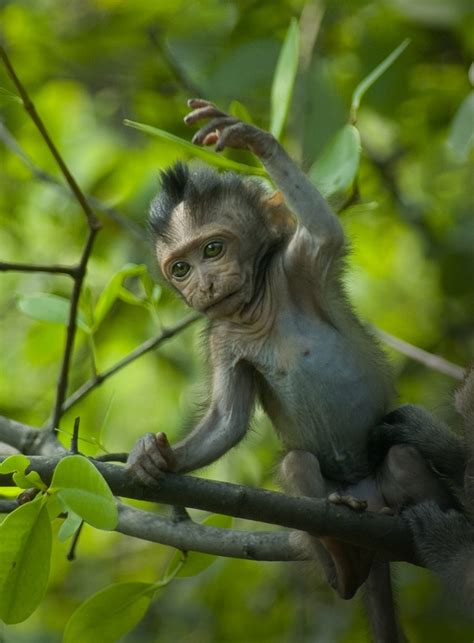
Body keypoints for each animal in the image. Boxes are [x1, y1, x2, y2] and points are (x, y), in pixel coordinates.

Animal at [126, 99, 460, 640]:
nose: (203, 285)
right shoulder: (222, 338)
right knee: (297, 465)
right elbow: (226, 422)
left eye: (213, 249)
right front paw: (158, 458)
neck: (256, 308)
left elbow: (324, 230)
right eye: (180, 268)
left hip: (391, 481)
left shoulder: (297, 265)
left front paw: (251, 138)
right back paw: (345, 565)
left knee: (404, 457)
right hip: (330, 501)